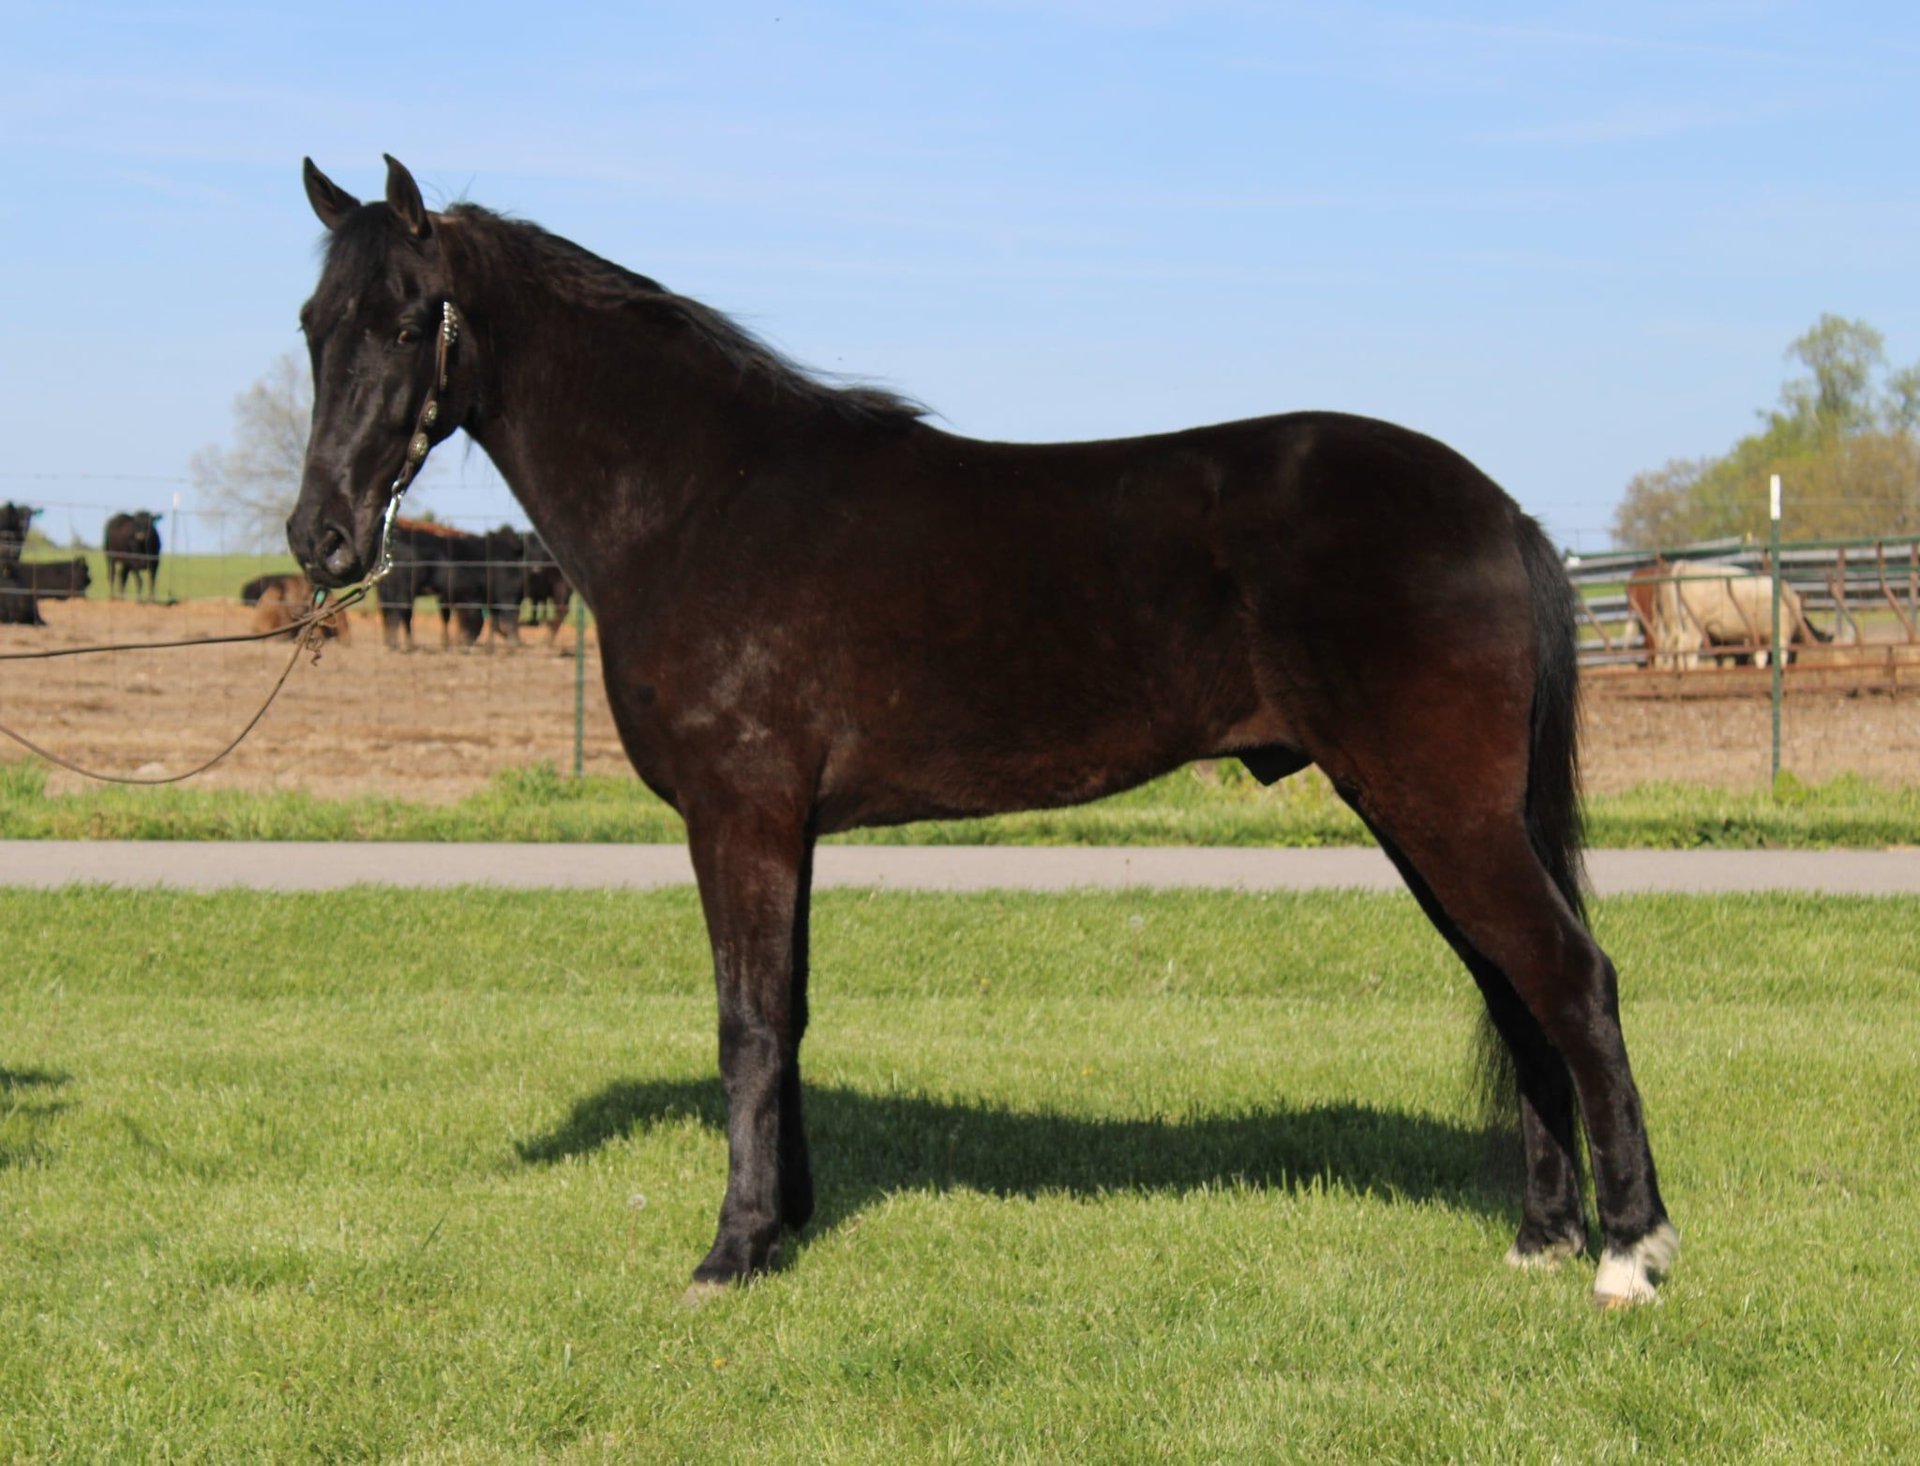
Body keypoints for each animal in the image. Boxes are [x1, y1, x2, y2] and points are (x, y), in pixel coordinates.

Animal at [287, 156, 1676, 1308]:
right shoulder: (787, 828)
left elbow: (746, 1024)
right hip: (1417, 811)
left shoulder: (740, 815)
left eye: (405, 322)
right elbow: (787, 1015)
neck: (700, 499)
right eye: (311, 324)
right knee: (1514, 990)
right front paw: (787, 1218)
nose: (322, 539)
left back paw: (1630, 1253)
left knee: (1571, 980)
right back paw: (1542, 1235)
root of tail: (1500, 510)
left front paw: (730, 1252)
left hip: (1444, 809)